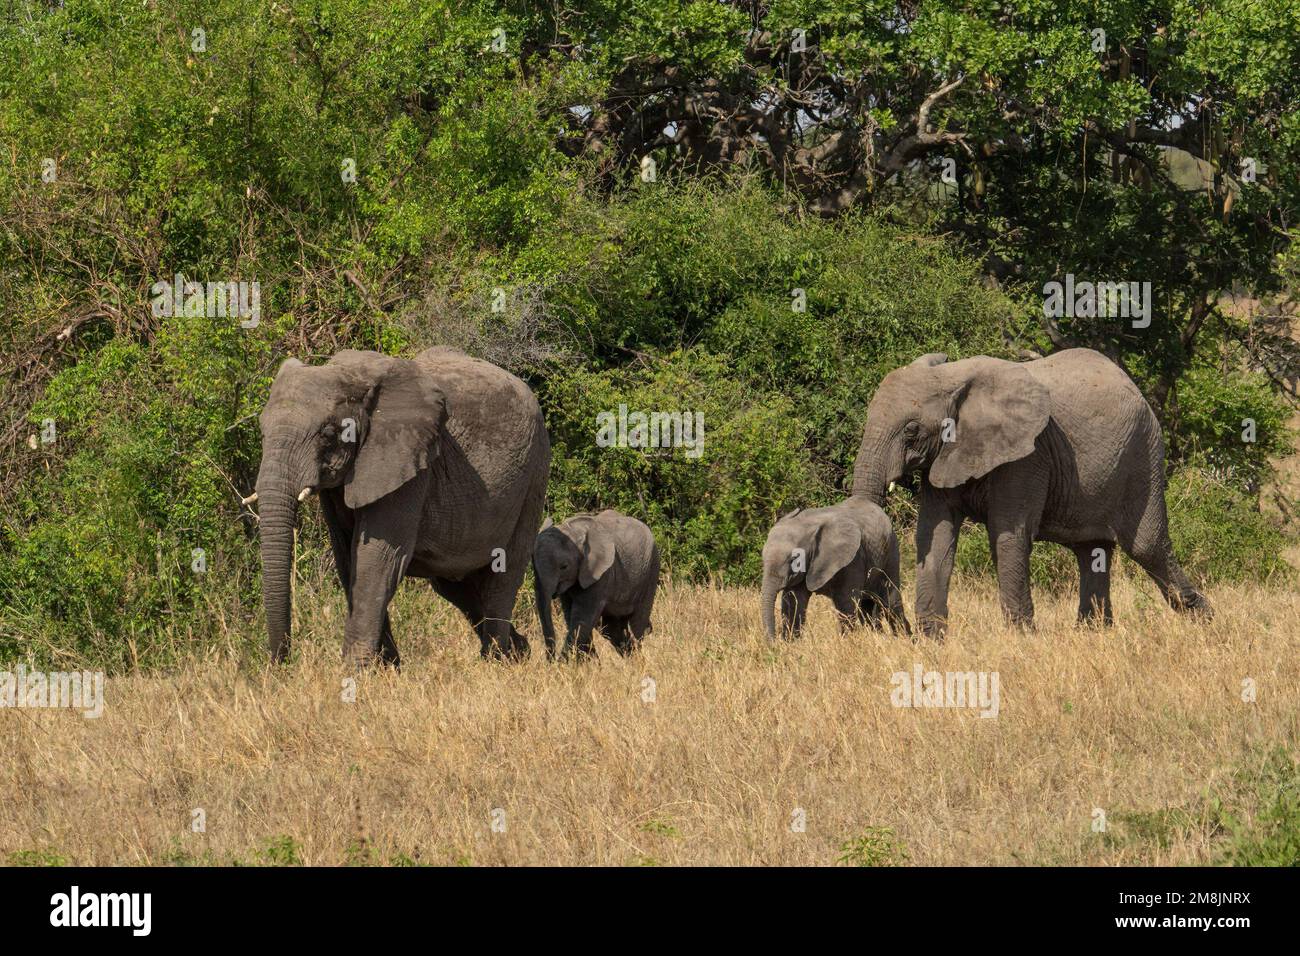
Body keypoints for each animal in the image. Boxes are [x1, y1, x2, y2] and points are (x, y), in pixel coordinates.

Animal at [253, 347, 550, 665]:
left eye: (328, 434)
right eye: (262, 431)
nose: (281, 663)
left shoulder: (409, 465)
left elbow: (377, 558)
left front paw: (356, 671)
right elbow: (348, 559)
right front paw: (386, 667)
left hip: (533, 475)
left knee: (503, 575)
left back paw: (496, 660)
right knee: (453, 585)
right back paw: (518, 652)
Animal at [532, 509, 660, 659]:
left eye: (564, 567)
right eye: (533, 565)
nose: (551, 660)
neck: (572, 531)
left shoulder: (601, 574)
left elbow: (582, 619)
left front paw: (566, 662)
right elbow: (571, 616)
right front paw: (588, 661)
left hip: (651, 569)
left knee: (637, 624)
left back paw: (639, 657)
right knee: (612, 629)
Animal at [760, 498, 909, 640]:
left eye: (794, 559)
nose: (773, 642)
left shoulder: (853, 560)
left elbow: (846, 604)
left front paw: (847, 642)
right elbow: (793, 604)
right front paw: (790, 644)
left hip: (891, 551)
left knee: (890, 601)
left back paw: (904, 639)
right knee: (868, 606)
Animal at [851, 348, 1210, 636]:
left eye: (911, 430)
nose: (877, 622)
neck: (954, 377)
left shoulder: (1027, 456)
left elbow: (1009, 535)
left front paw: (1022, 639)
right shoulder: (943, 457)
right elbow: (934, 534)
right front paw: (931, 642)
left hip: (1143, 454)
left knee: (1146, 546)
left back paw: (1206, 620)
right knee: (1092, 551)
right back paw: (1092, 635)